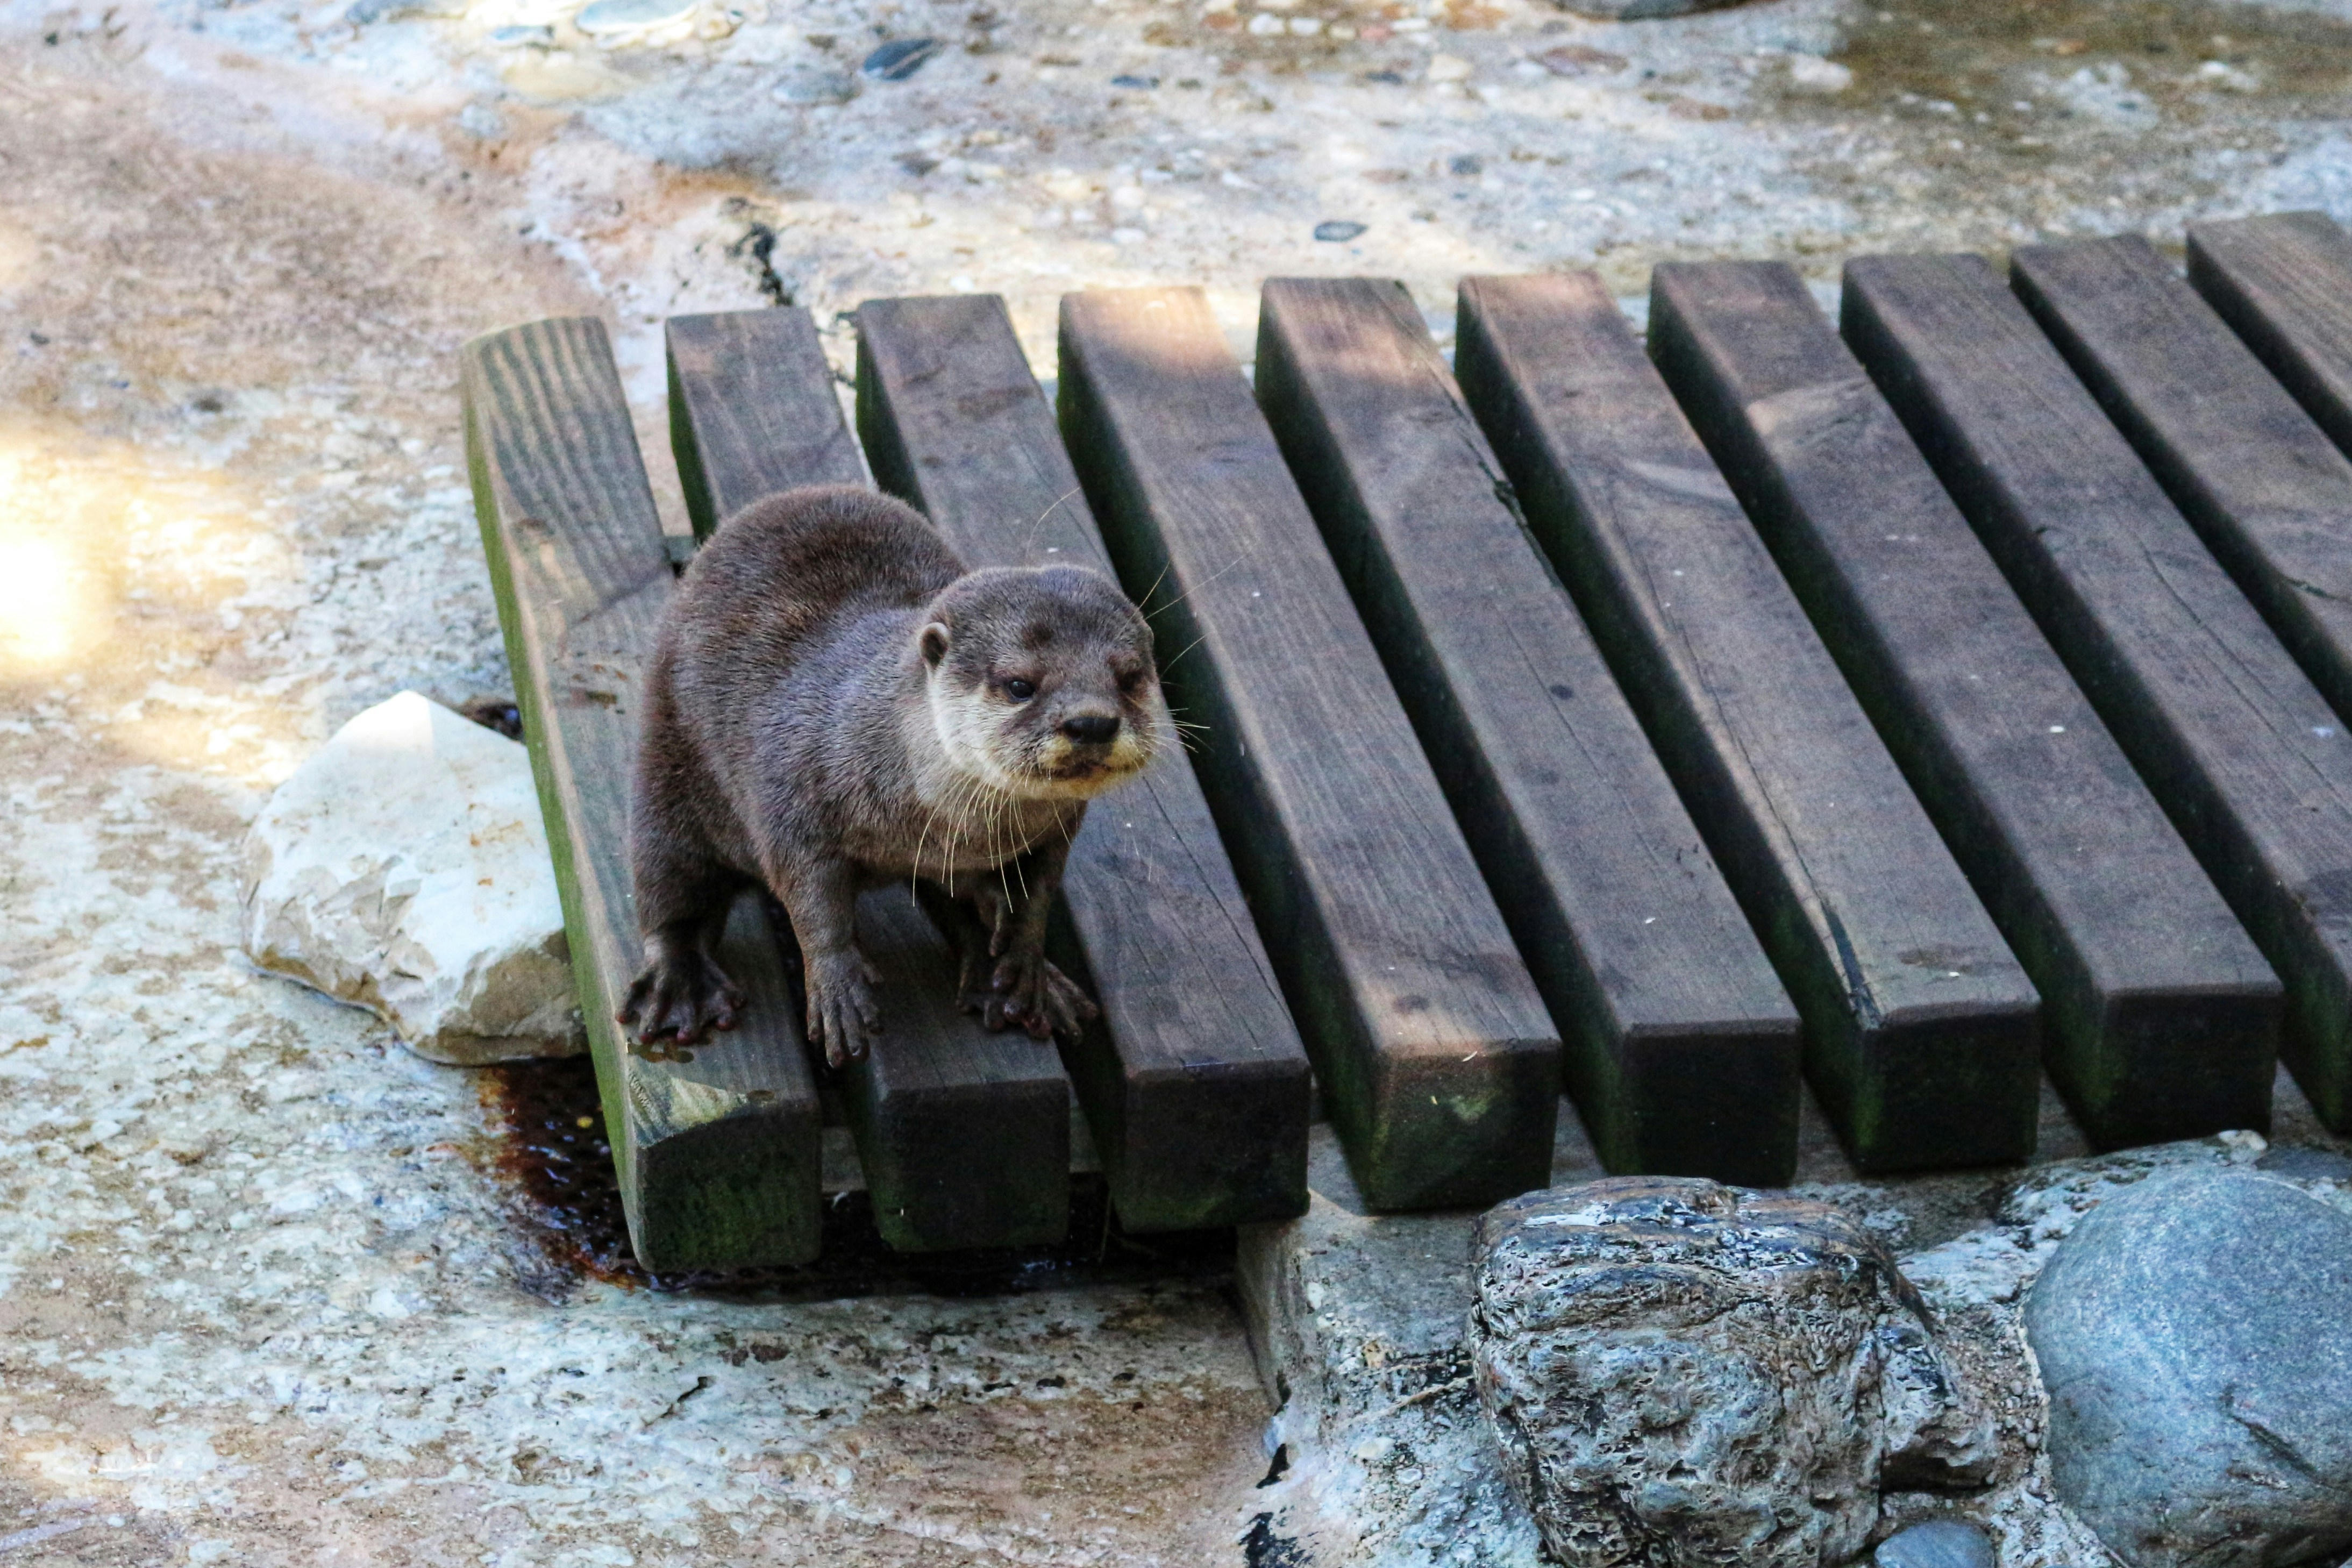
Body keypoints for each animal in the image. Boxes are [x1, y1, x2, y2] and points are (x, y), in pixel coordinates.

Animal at [618, 484, 1162, 1066]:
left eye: (1130, 677)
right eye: (1020, 685)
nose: (1092, 722)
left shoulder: (1053, 832)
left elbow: (1036, 894)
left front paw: (1025, 961)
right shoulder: (794, 801)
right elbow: (810, 902)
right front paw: (837, 989)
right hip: (668, 773)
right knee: (670, 887)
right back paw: (681, 985)